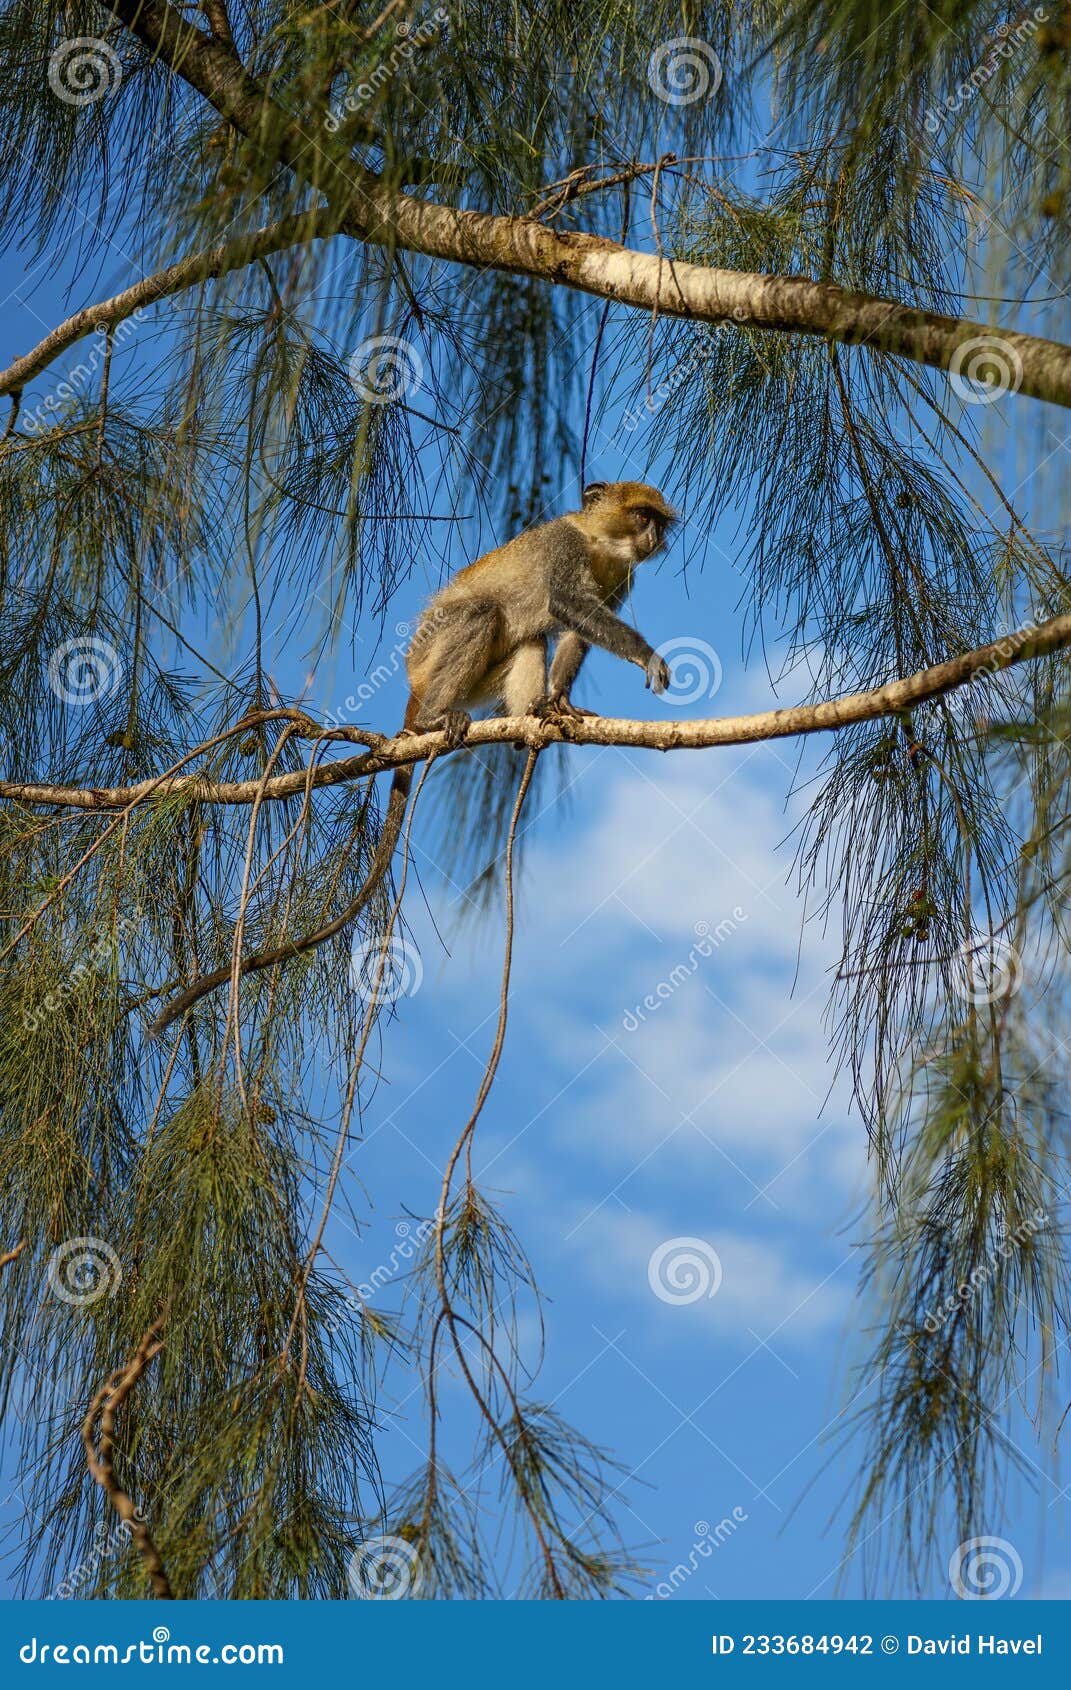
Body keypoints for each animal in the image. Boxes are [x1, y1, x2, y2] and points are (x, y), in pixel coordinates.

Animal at [149, 482, 677, 1036]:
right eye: (642, 515)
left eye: (659, 521)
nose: (653, 537)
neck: (599, 542)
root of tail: (416, 683)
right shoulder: (564, 549)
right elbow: (567, 603)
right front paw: (646, 656)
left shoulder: (620, 576)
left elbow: (574, 632)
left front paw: (561, 703)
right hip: (434, 652)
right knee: (484, 613)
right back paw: (435, 721)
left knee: (530, 636)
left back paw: (533, 716)